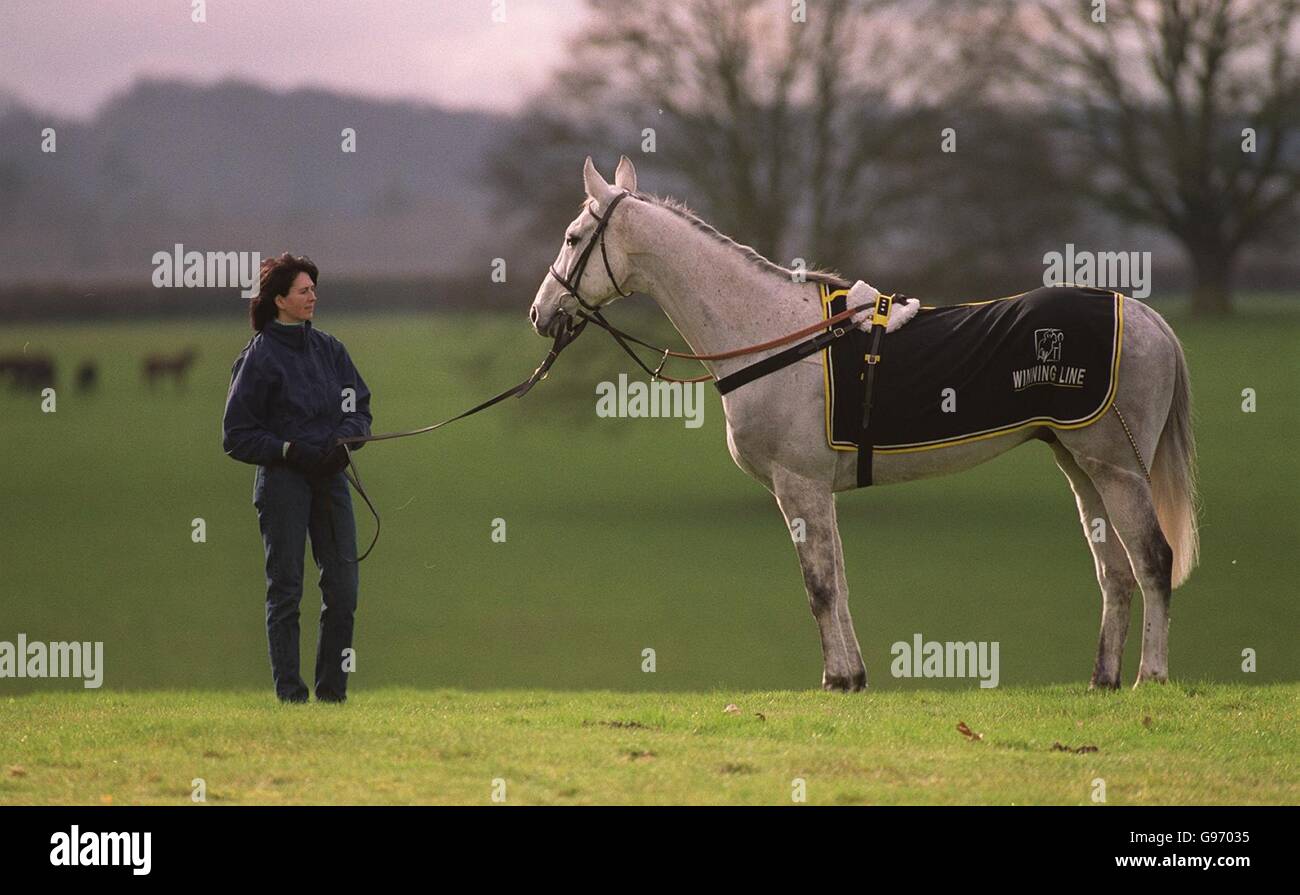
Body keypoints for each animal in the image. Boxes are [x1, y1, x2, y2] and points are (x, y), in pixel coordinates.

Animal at [529, 156, 1198, 692]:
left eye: (572, 236)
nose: (541, 313)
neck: (773, 332)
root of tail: (1146, 318)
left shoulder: (798, 484)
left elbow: (820, 586)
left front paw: (839, 678)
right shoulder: (815, 490)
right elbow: (840, 583)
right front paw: (851, 676)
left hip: (1116, 467)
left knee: (1152, 560)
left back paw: (1151, 678)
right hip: (1080, 466)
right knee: (1115, 573)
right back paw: (1102, 681)